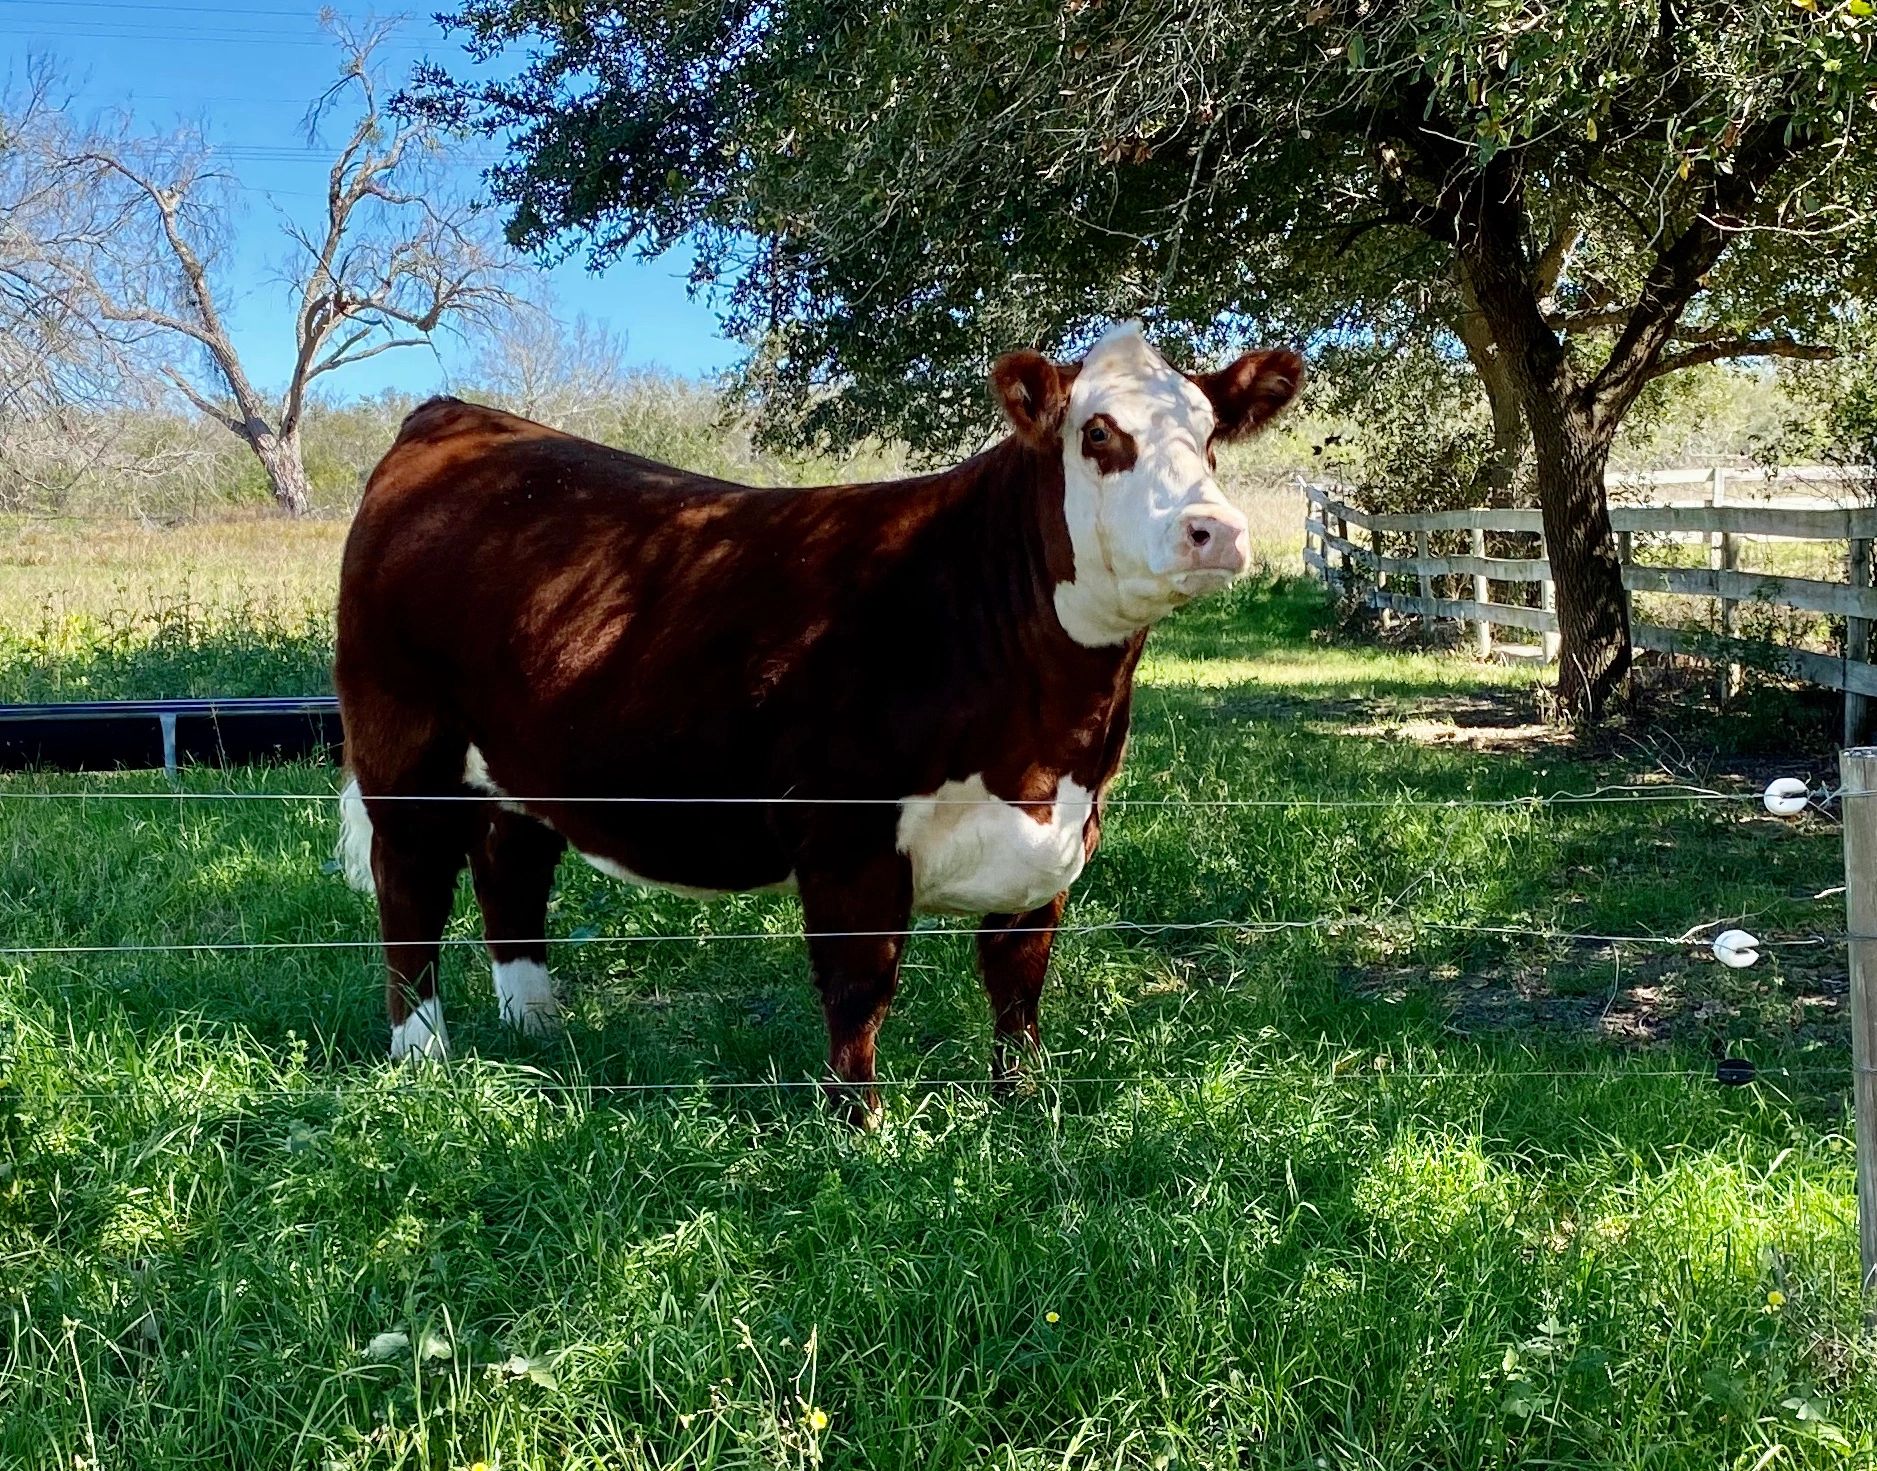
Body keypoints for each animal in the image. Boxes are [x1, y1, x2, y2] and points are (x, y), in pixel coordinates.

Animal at [334, 321, 1301, 1121]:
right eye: (1099, 433)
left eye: (1209, 436)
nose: (1214, 530)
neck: (1050, 741)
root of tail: (453, 417)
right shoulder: (847, 833)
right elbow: (858, 985)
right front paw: (858, 1126)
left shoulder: (1056, 839)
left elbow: (1018, 985)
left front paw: (1024, 1105)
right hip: (402, 741)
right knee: (411, 884)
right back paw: (423, 1053)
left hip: (520, 756)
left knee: (512, 863)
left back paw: (537, 1027)